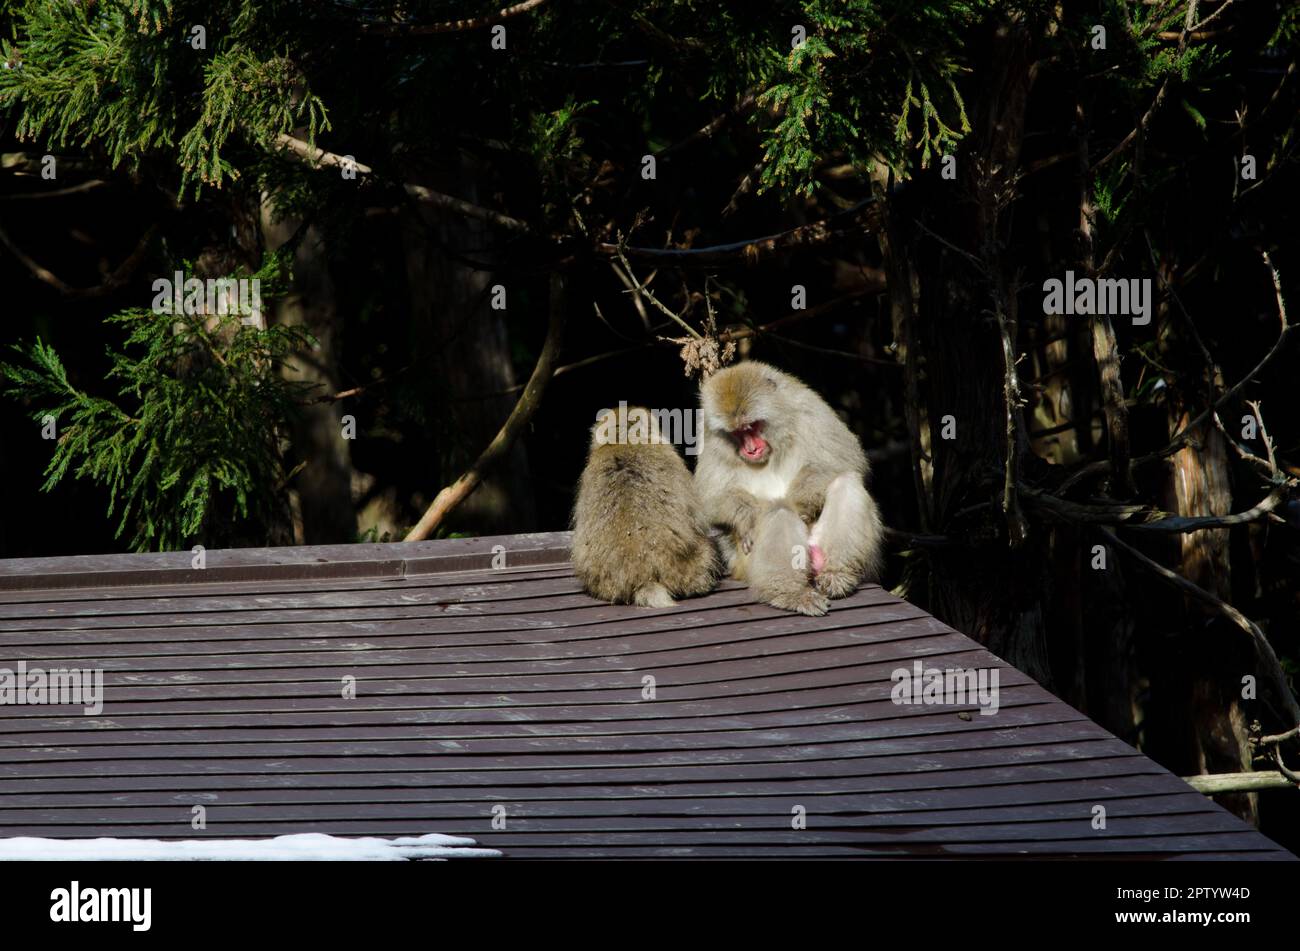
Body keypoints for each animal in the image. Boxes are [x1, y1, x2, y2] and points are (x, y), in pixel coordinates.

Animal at [694, 361, 884, 616]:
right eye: (736, 433)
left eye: (752, 426)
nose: (750, 449)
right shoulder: (710, 441)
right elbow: (706, 499)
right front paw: (746, 517)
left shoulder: (809, 409)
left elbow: (845, 459)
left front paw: (800, 505)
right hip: (745, 564)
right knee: (778, 511)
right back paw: (790, 593)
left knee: (846, 482)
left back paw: (837, 575)